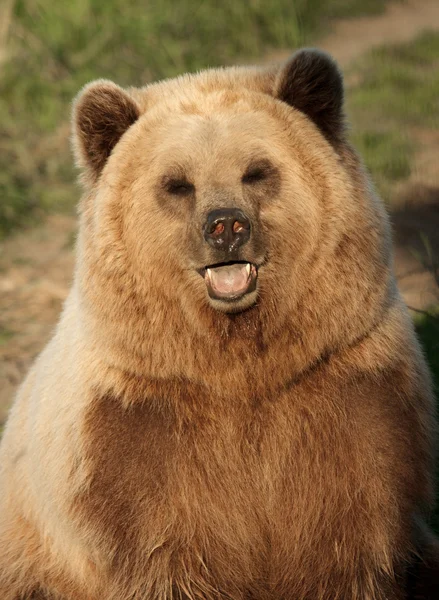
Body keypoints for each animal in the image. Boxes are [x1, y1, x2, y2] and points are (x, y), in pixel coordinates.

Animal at [0, 49, 439, 596]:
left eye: (256, 171)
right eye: (177, 184)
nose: (226, 226)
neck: (236, 365)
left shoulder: (356, 402)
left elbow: (351, 539)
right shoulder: (131, 440)